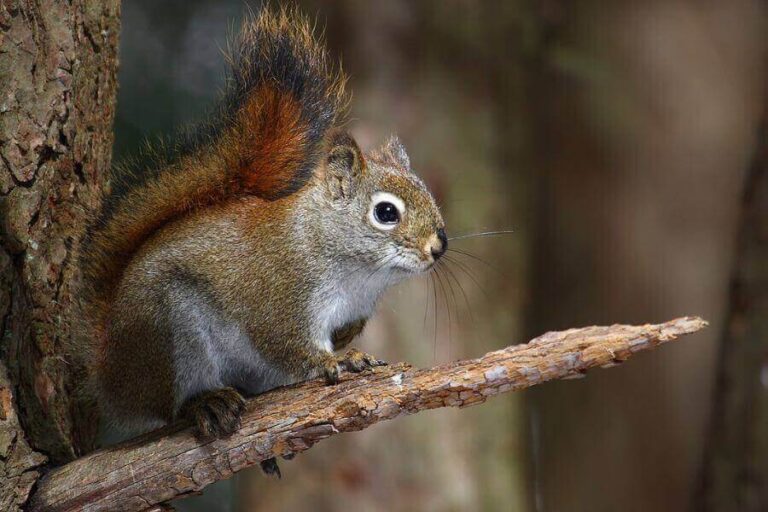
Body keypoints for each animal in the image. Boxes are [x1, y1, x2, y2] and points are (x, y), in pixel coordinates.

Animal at [77, 7, 447, 450]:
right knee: (169, 404)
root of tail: (109, 372)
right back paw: (205, 403)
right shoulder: (280, 296)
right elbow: (289, 345)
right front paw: (338, 359)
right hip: (169, 332)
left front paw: (349, 341)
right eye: (386, 212)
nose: (439, 246)